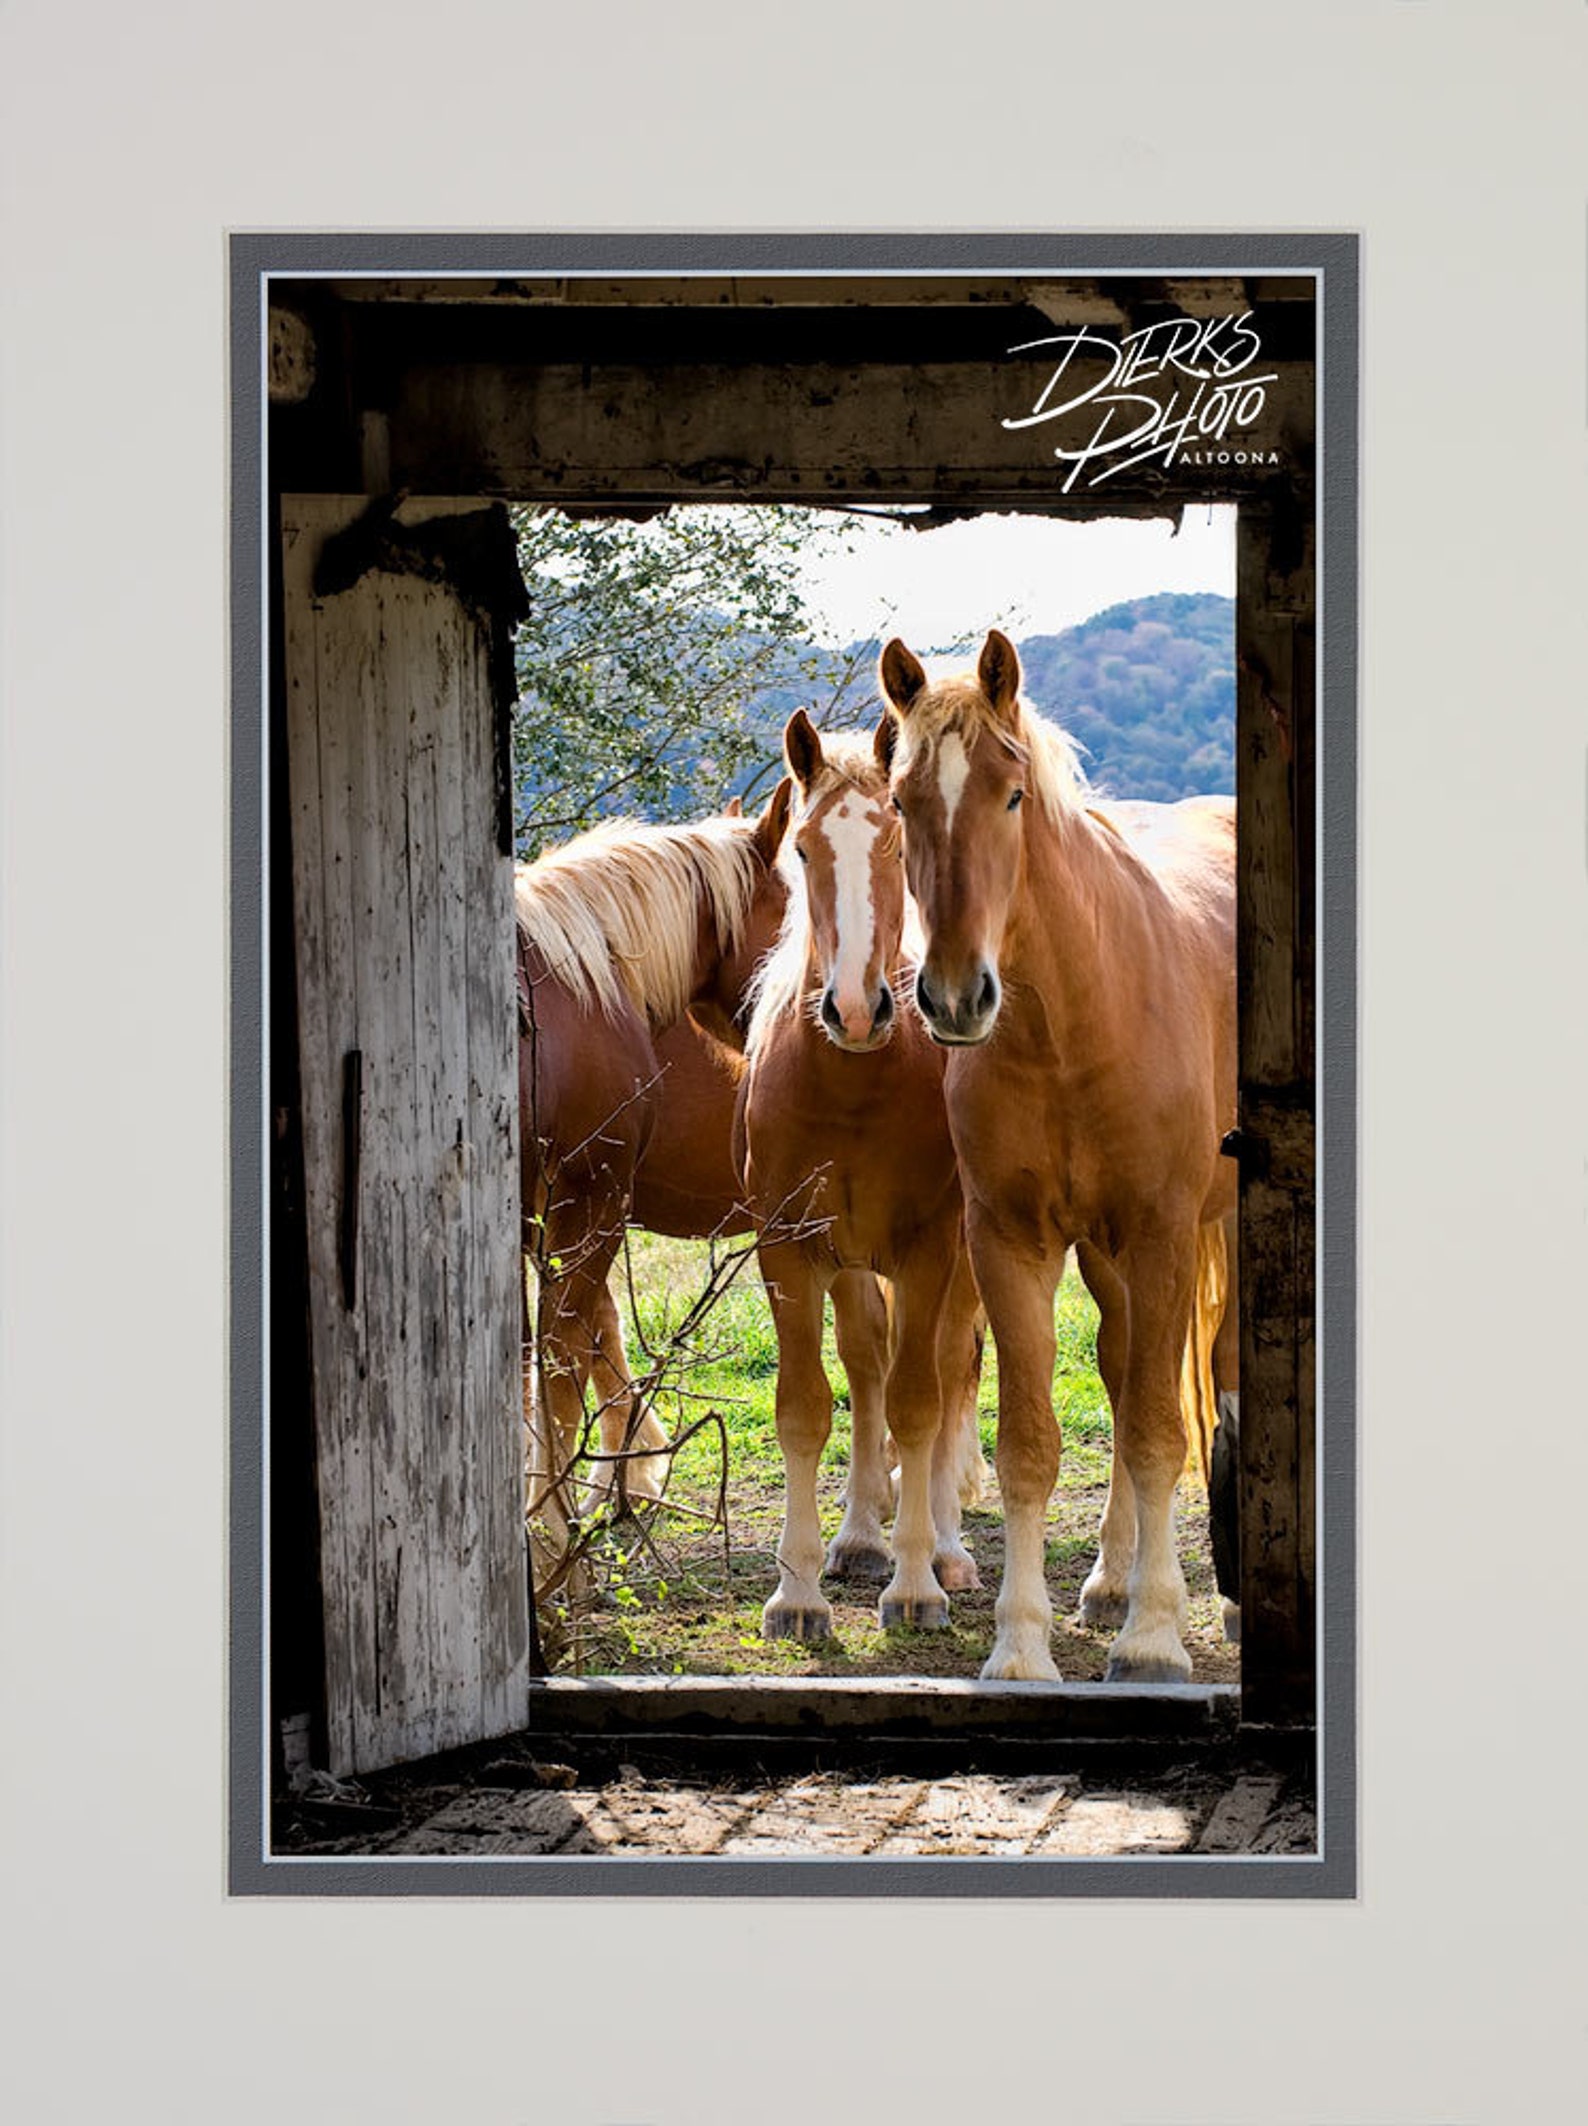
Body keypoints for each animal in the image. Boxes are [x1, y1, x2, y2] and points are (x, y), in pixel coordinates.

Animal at [739, 710, 986, 1642]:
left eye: (896, 842)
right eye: (804, 848)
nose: (853, 1009)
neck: (847, 1086)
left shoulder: (926, 1251)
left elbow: (920, 1402)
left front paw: (916, 1585)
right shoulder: (791, 1251)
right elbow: (809, 1407)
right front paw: (800, 1592)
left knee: (950, 1372)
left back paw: (944, 1546)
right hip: (850, 1266)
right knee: (868, 1364)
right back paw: (859, 1537)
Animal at [879, 629, 1237, 1683]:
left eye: (1011, 795)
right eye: (902, 802)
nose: (955, 996)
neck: (1075, 1022)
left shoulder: (1161, 1235)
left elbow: (1161, 1431)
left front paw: (1155, 1640)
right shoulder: (1012, 1242)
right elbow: (1032, 1446)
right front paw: (1020, 1646)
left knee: (1188, 1384)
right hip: (1103, 1257)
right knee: (1120, 1372)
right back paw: (1112, 1579)